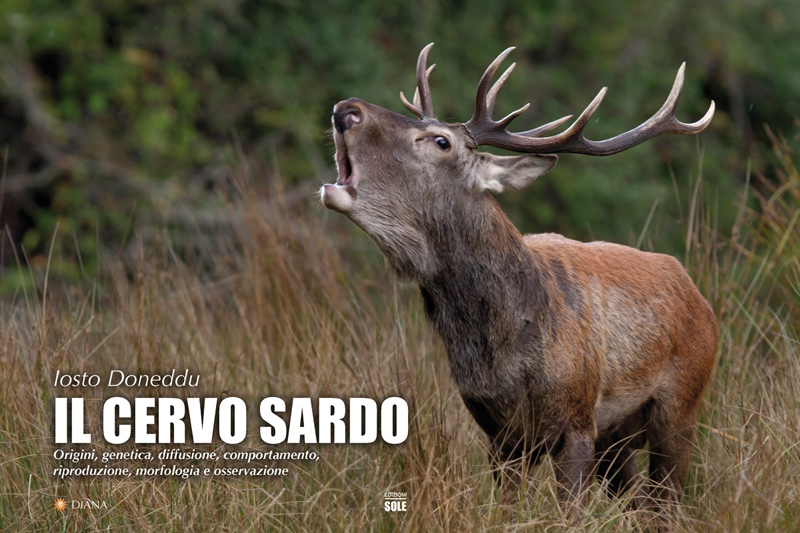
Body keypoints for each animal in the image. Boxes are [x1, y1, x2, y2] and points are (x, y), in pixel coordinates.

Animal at [320, 43, 718, 514]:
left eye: (441, 141)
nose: (347, 109)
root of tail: (700, 298)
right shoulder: (500, 434)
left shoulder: (579, 418)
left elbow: (570, 514)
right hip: (617, 441)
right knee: (639, 502)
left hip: (681, 407)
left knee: (667, 505)